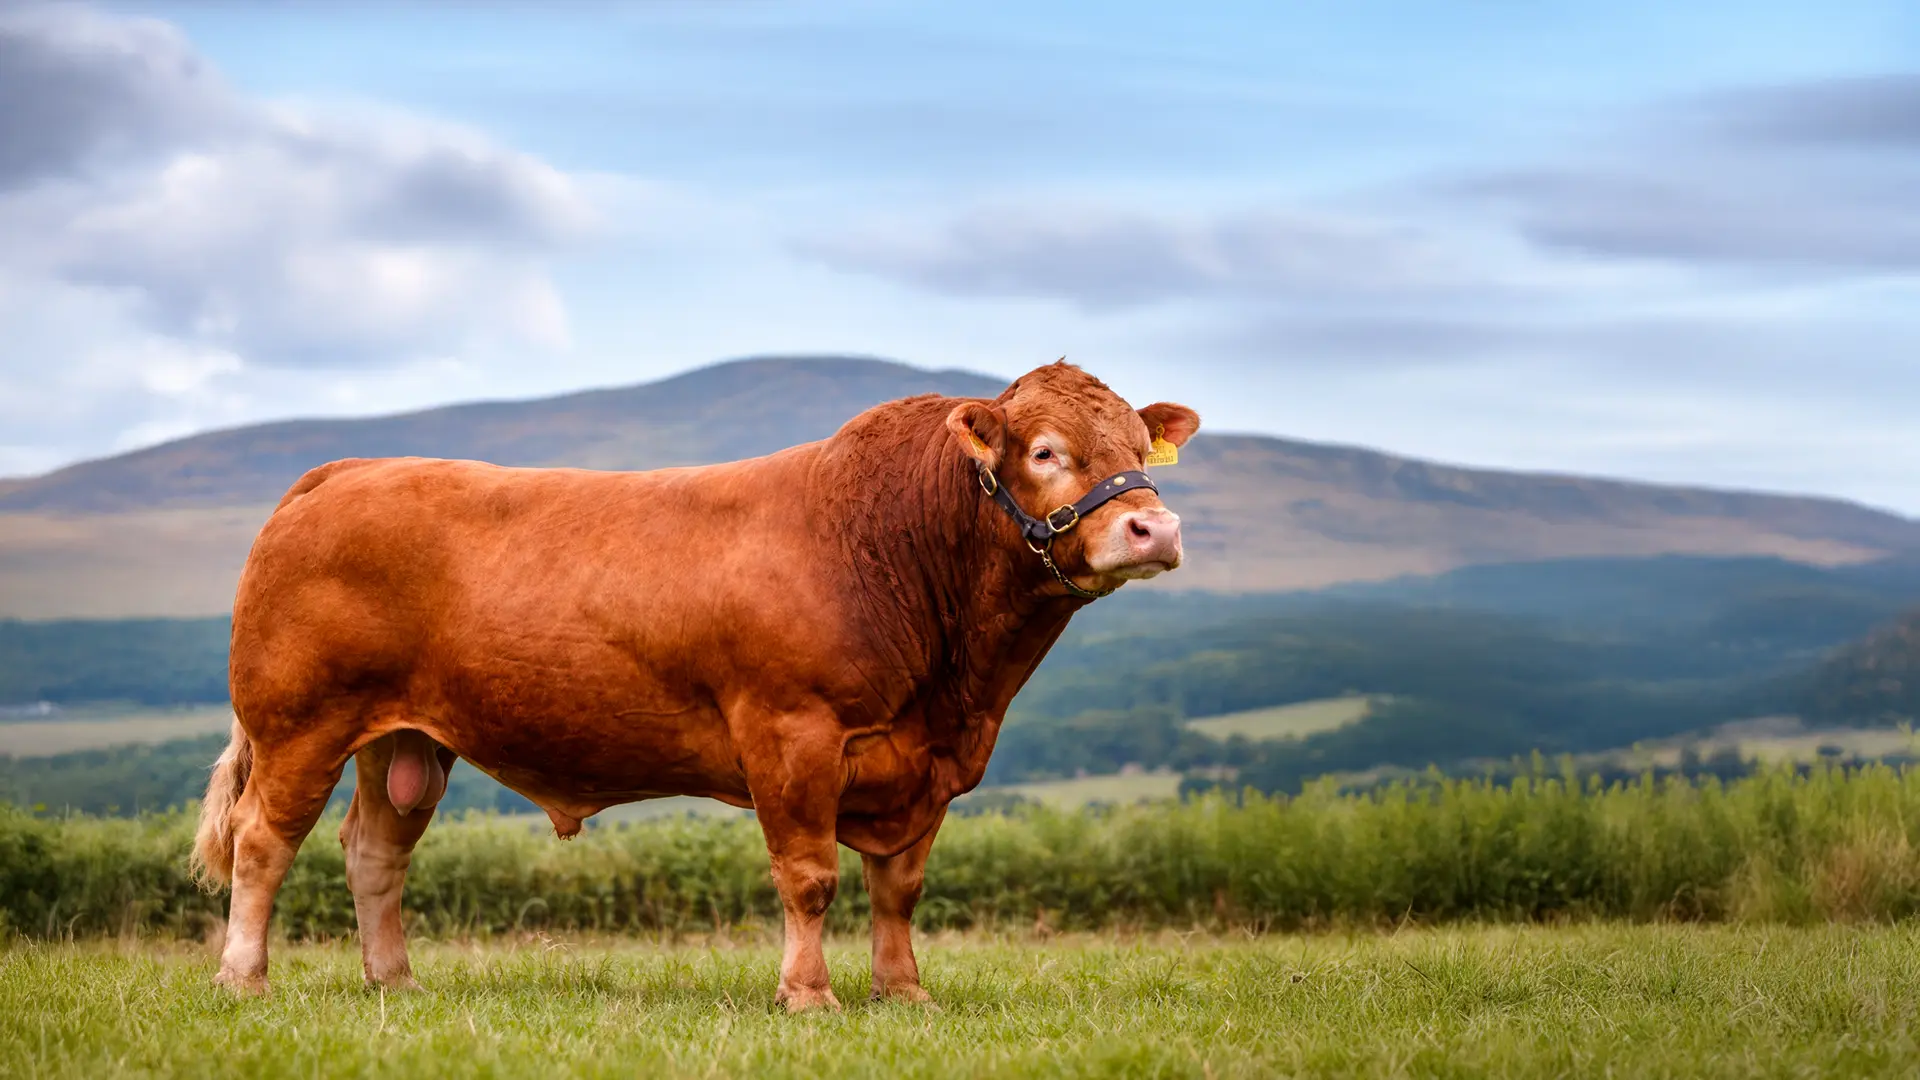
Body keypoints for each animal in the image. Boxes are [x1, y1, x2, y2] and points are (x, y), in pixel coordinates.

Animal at [190, 360, 1199, 1010]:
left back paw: (394, 981)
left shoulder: (927, 765)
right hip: (301, 723)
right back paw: (243, 979)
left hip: (406, 739)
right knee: (264, 842)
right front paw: (808, 997)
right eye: (1045, 451)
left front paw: (903, 992)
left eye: (1134, 442)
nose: (1155, 526)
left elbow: (899, 887)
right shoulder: (792, 736)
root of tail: (348, 468)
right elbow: (811, 878)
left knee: (374, 852)